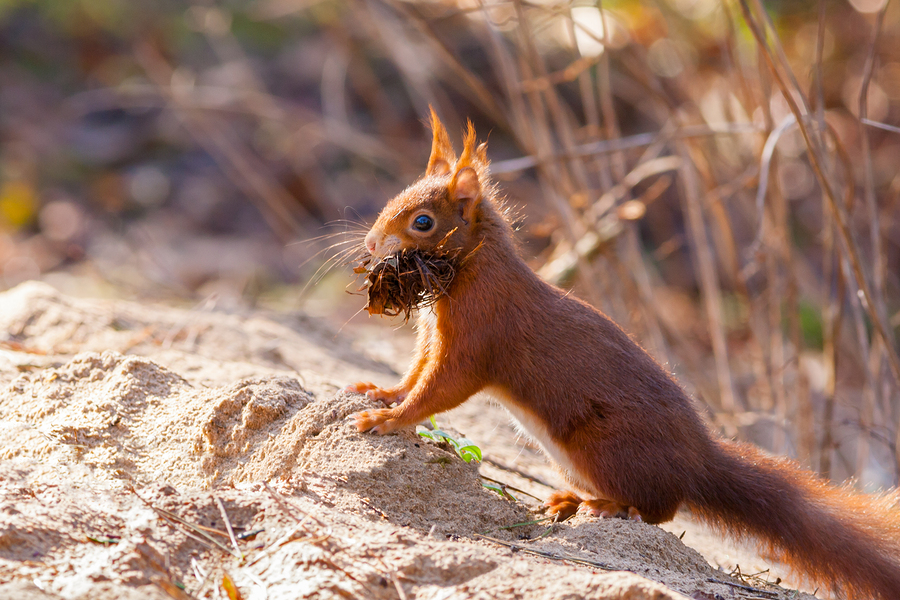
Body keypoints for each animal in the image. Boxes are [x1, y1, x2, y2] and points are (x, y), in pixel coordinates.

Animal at [344, 109, 900, 600]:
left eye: (422, 221)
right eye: (395, 197)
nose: (370, 243)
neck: (474, 273)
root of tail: (698, 461)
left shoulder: (480, 336)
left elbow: (439, 388)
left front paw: (387, 420)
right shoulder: (432, 337)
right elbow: (414, 374)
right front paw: (380, 391)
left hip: (606, 450)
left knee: (659, 510)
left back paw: (610, 509)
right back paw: (573, 499)